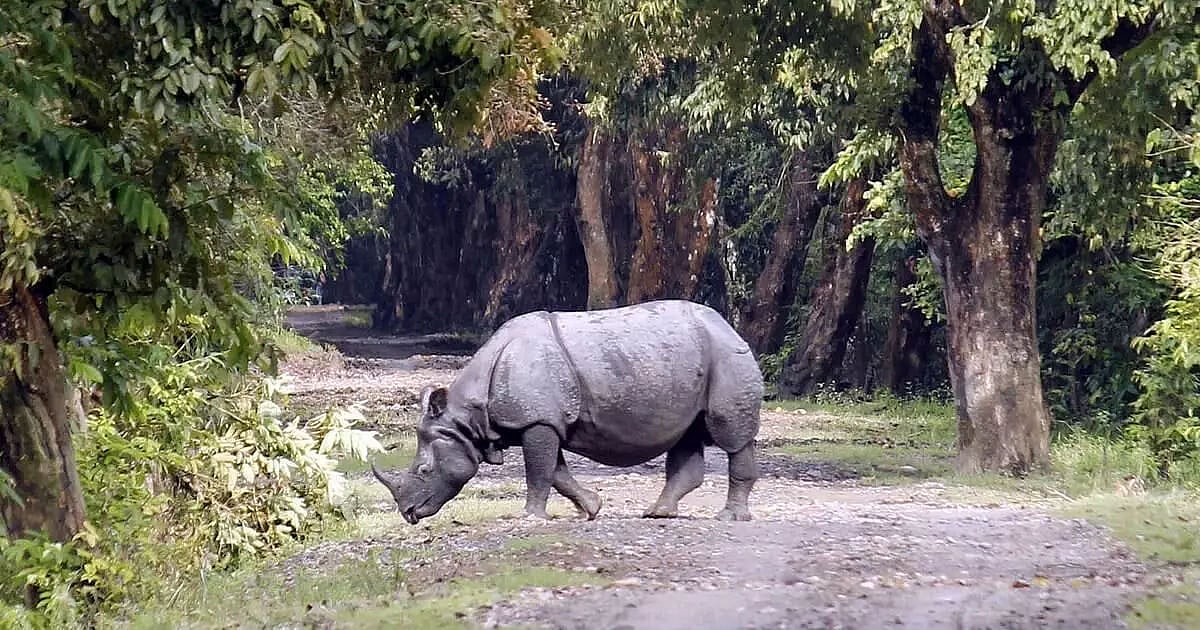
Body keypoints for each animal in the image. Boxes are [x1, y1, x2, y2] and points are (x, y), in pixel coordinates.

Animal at [371, 299, 763, 524]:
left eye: (424, 470)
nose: (408, 514)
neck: (469, 415)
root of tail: (727, 325)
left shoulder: (537, 420)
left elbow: (539, 471)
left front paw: (530, 518)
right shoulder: (545, 419)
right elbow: (556, 471)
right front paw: (591, 508)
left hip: (726, 356)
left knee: (732, 437)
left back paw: (730, 517)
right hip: (689, 360)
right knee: (686, 434)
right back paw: (658, 513)